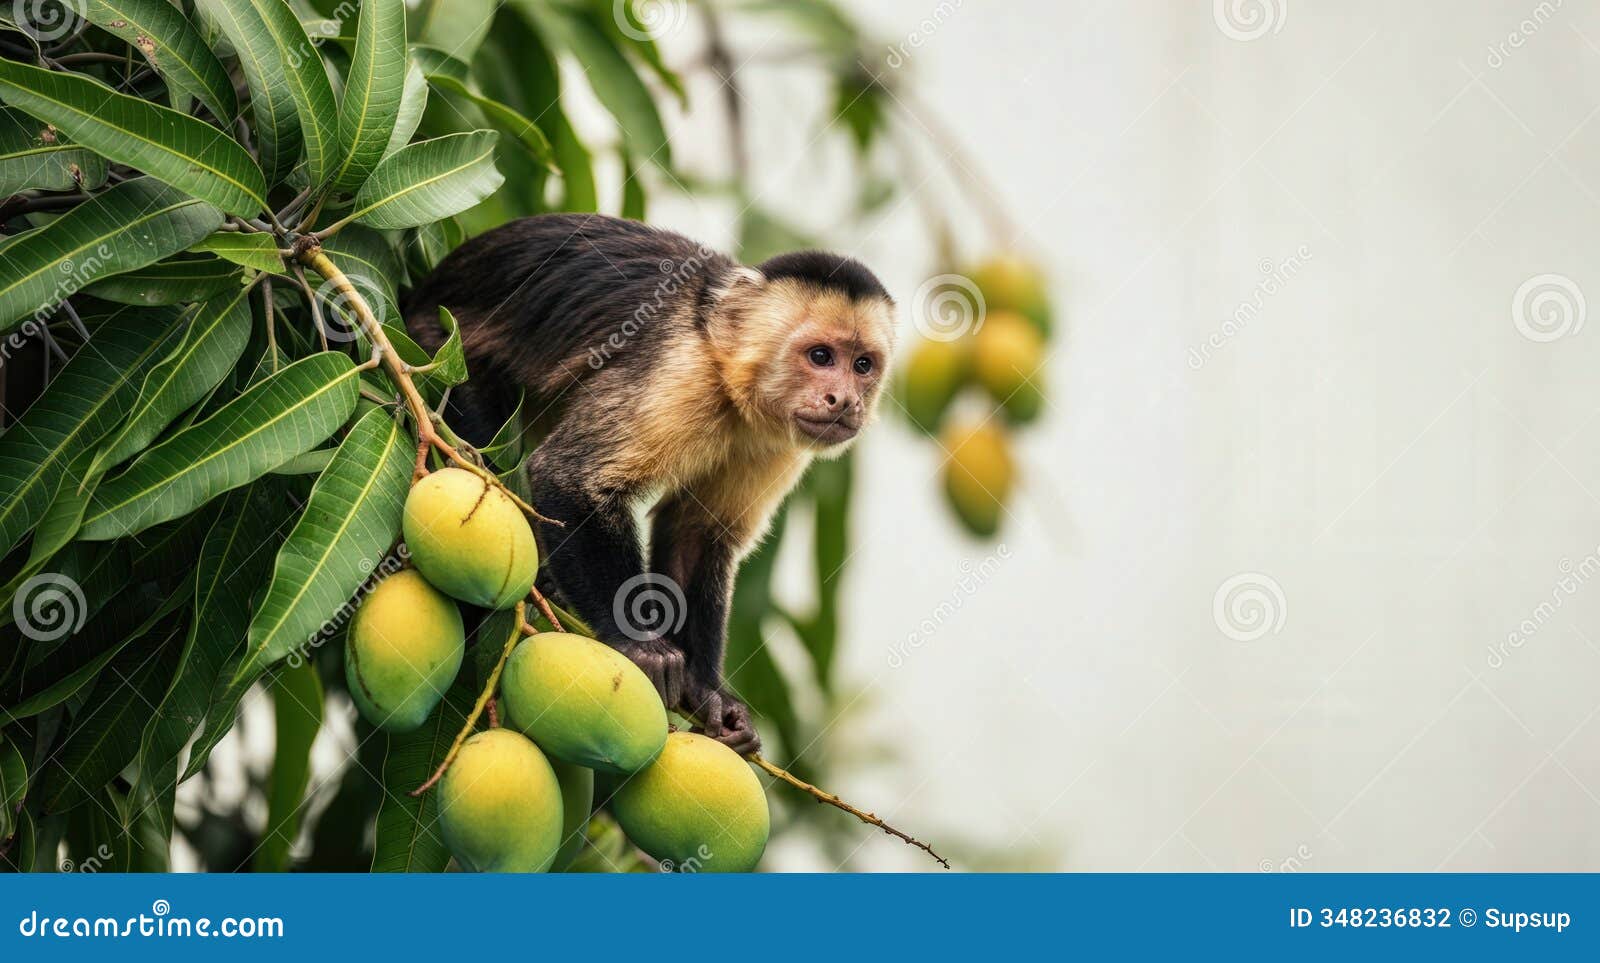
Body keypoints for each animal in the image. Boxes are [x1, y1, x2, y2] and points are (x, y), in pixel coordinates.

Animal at [404, 213, 896, 754]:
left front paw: (708, 693)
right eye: (821, 356)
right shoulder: (679, 370)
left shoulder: (774, 442)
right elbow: (568, 476)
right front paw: (639, 644)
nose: (844, 400)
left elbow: (697, 532)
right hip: (434, 351)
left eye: (863, 365)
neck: (726, 370)